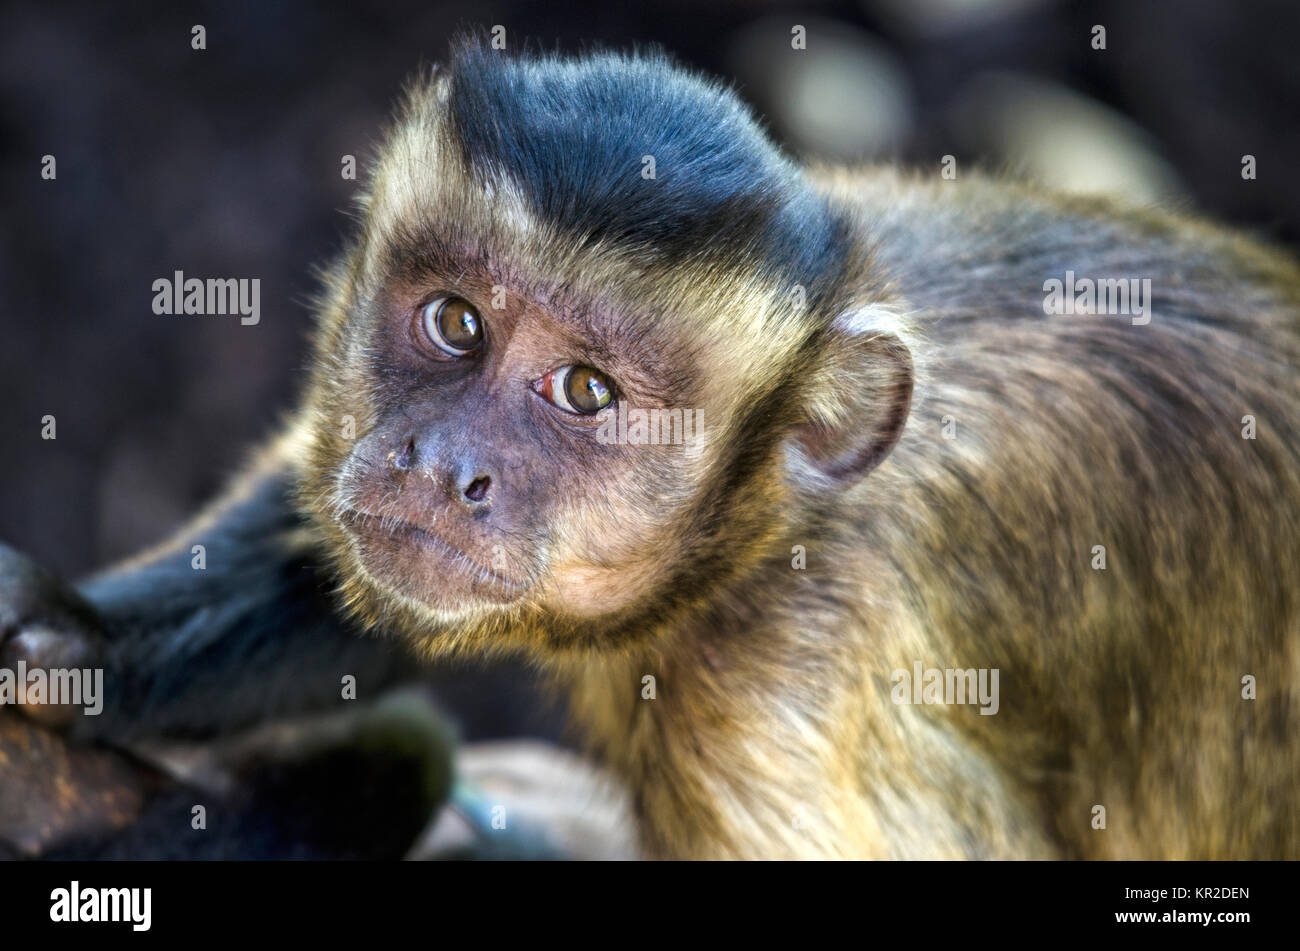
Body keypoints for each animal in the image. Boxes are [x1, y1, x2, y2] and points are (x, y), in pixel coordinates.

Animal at [2, 36, 1298, 860]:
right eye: (455, 323)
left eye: (584, 391)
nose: (439, 466)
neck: (774, 520)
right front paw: (79, 641)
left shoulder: (780, 698)